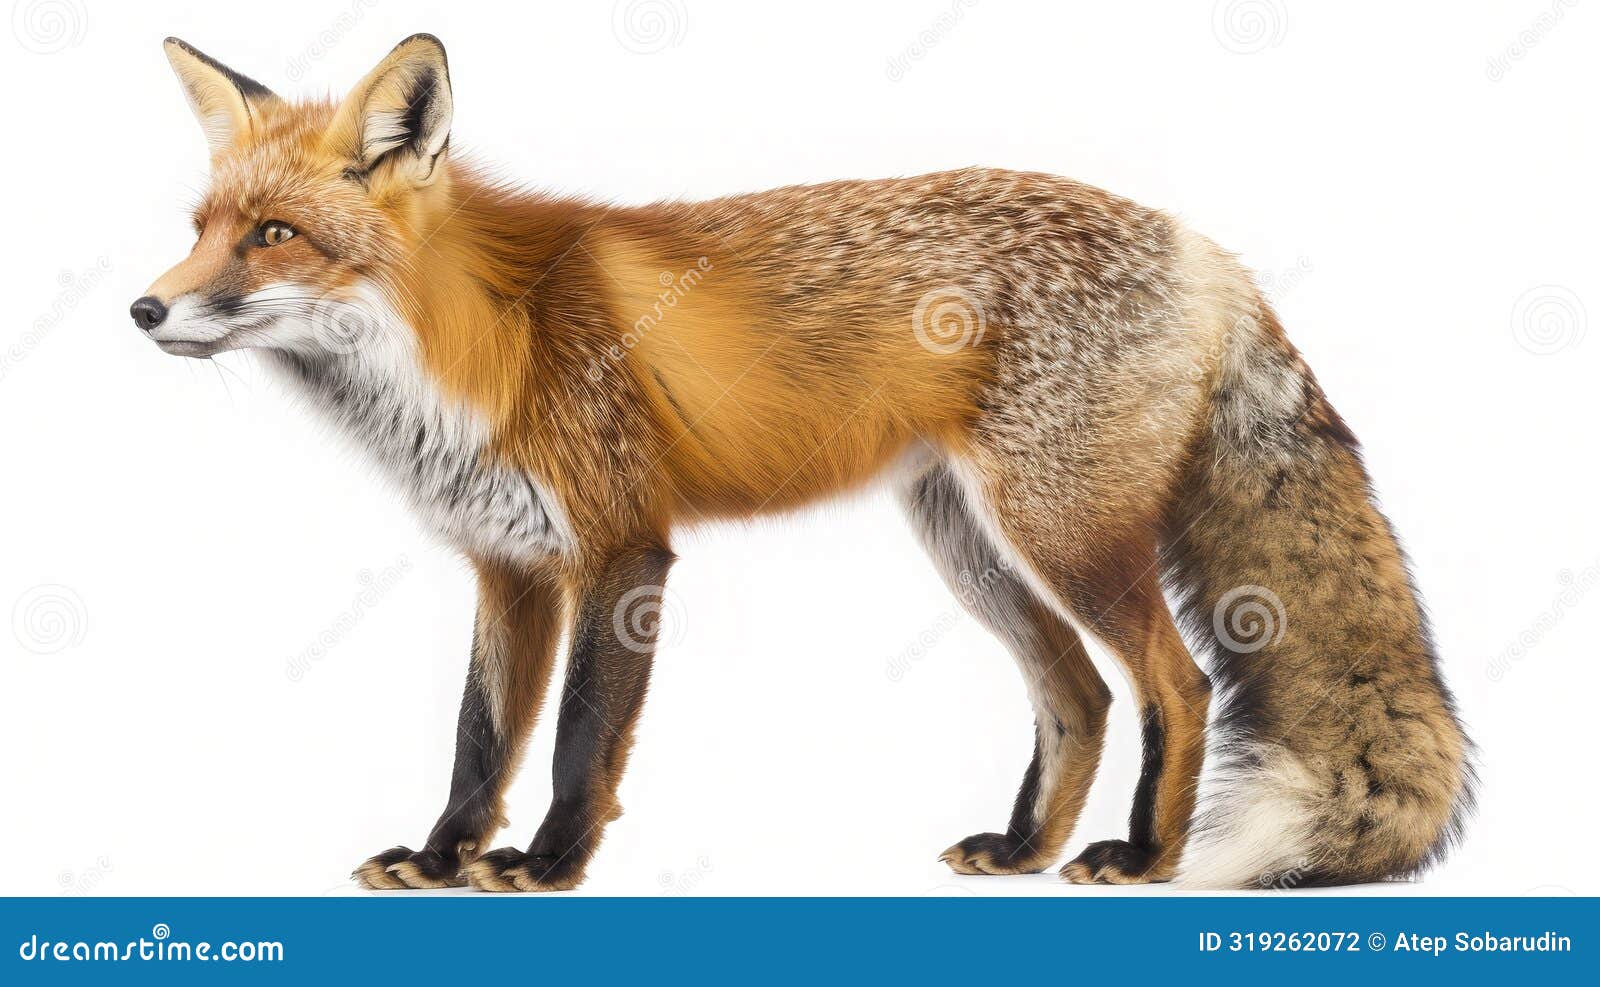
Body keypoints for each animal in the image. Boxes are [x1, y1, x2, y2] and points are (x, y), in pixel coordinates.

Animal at [134, 34, 1472, 892]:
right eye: (199, 228)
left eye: (275, 235)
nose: (143, 311)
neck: (472, 345)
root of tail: (1203, 246)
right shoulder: (506, 566)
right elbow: (480, 738)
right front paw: (440, 854)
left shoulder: (622, 549)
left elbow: (576, 740)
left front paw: (545, 865)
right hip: (969, 546)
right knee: (1080, 696)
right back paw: (1021, 852)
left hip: (1061, 533)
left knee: (1176, 685)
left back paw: (1145, 858)